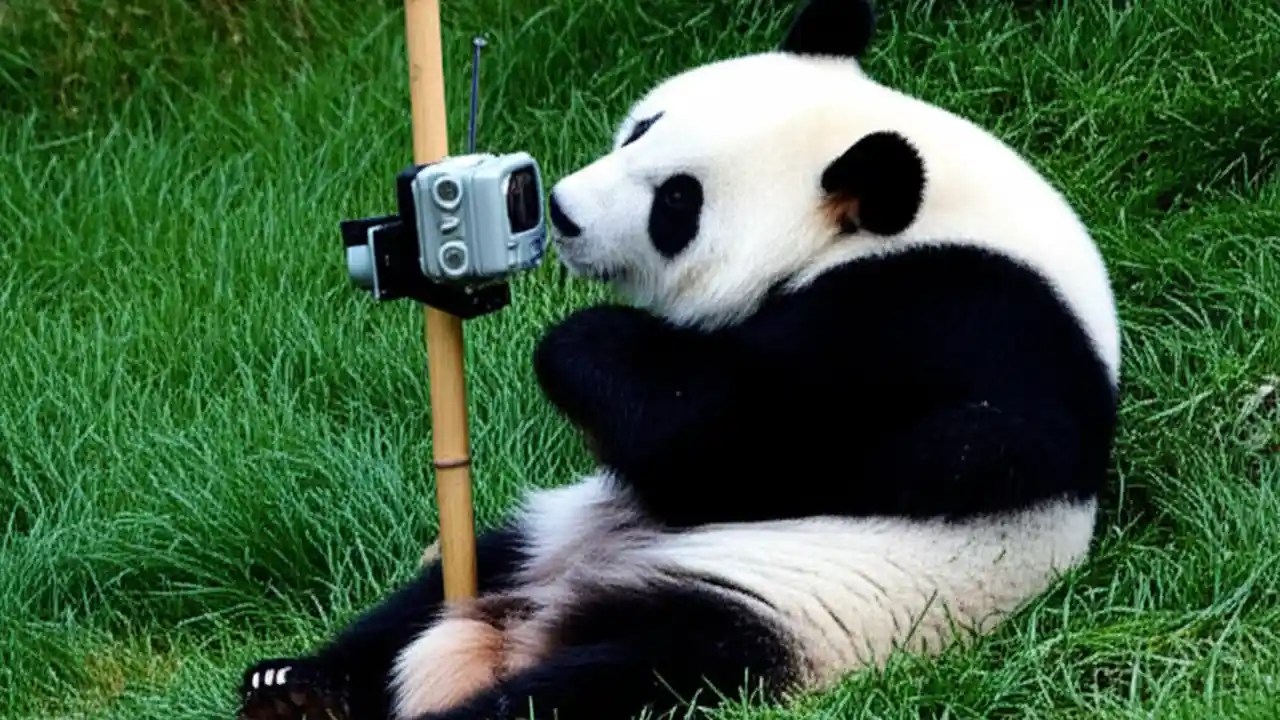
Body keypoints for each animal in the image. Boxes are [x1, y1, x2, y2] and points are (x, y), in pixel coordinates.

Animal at [235, 0, 1121, 718]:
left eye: (678, 202)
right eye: (642, 127)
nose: (562, 212)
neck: (918, 219)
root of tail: (545, 619)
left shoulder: (954, 324)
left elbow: (741, 438)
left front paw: (582, 338)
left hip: (780, 612)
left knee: (605, 685)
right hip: (554, 533)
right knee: (429, 595)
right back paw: (298, 690)